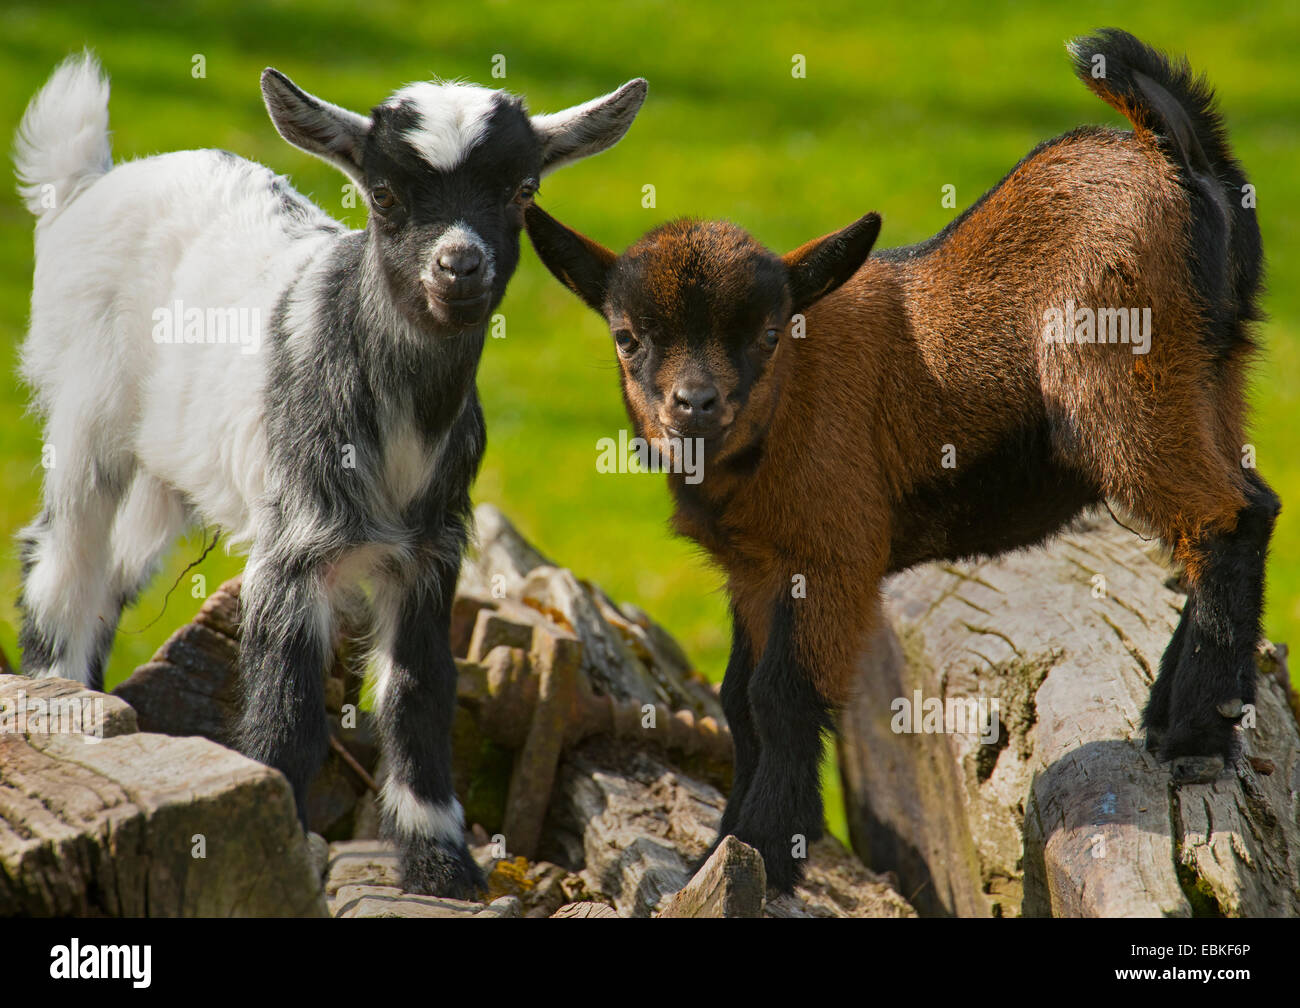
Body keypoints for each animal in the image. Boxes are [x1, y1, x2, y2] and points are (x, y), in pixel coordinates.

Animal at [14, 53, 645, 898]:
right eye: (383, 194)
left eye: (522, 191)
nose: (459, 267)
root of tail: (92, 182)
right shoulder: (294, 550)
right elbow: (289, 711)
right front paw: (277, 837)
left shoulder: (432, 551)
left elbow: (420, 694)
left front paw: (441, 861)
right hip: (86, 424)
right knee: (64, 566)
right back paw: (65, 704)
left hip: (165, 474)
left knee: (109, 576)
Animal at [522, 28, 1276, 892]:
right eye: (627, 336)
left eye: (768, 332)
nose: (695, 405)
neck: (788, 401)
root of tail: (1177, 156)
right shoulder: (756, 566)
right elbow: (739, 702)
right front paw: (724, 850)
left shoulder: (834, 552)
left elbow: (783, 700)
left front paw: (766, 849)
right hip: (1213, 380)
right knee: (1245, 505)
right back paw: (1166, 720)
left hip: (1124, 388)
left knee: (1224, 519)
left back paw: (1195, 740)